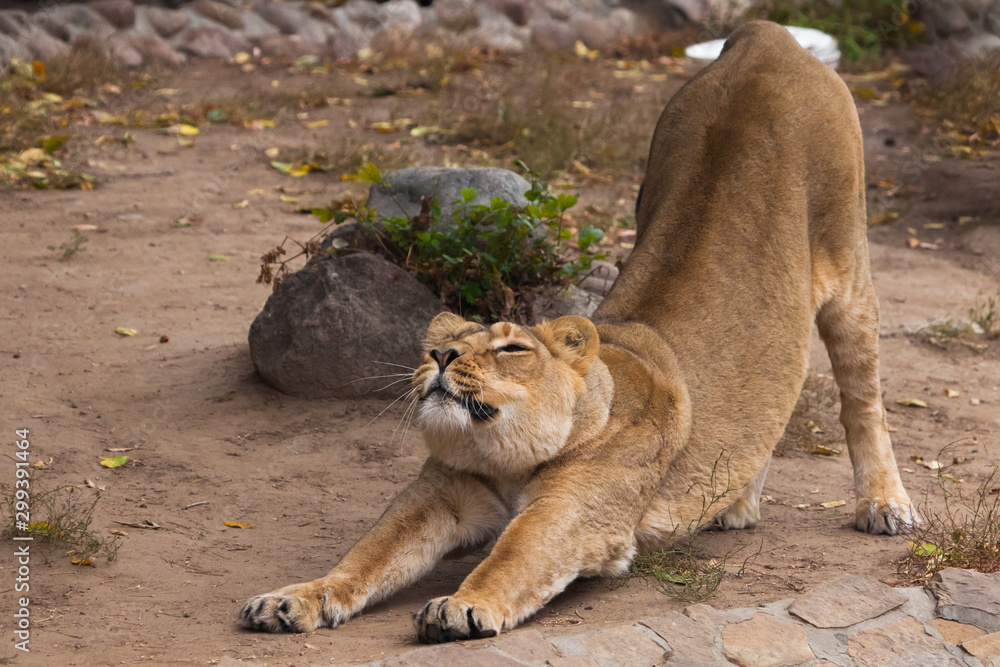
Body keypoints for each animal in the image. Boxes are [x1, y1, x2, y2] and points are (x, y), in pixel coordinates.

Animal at [239, 21, 916, 642]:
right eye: (440, 344)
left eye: (511, 347)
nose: (442, 354)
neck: (505, 461)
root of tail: (763, 34)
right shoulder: (438, 496)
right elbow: (366, 558)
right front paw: (292, 599)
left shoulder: (572, 513)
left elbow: (515, 556)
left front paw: (462, 605)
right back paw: (737, 504)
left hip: (849, 264)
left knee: (863, 398)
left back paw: (885, 506)